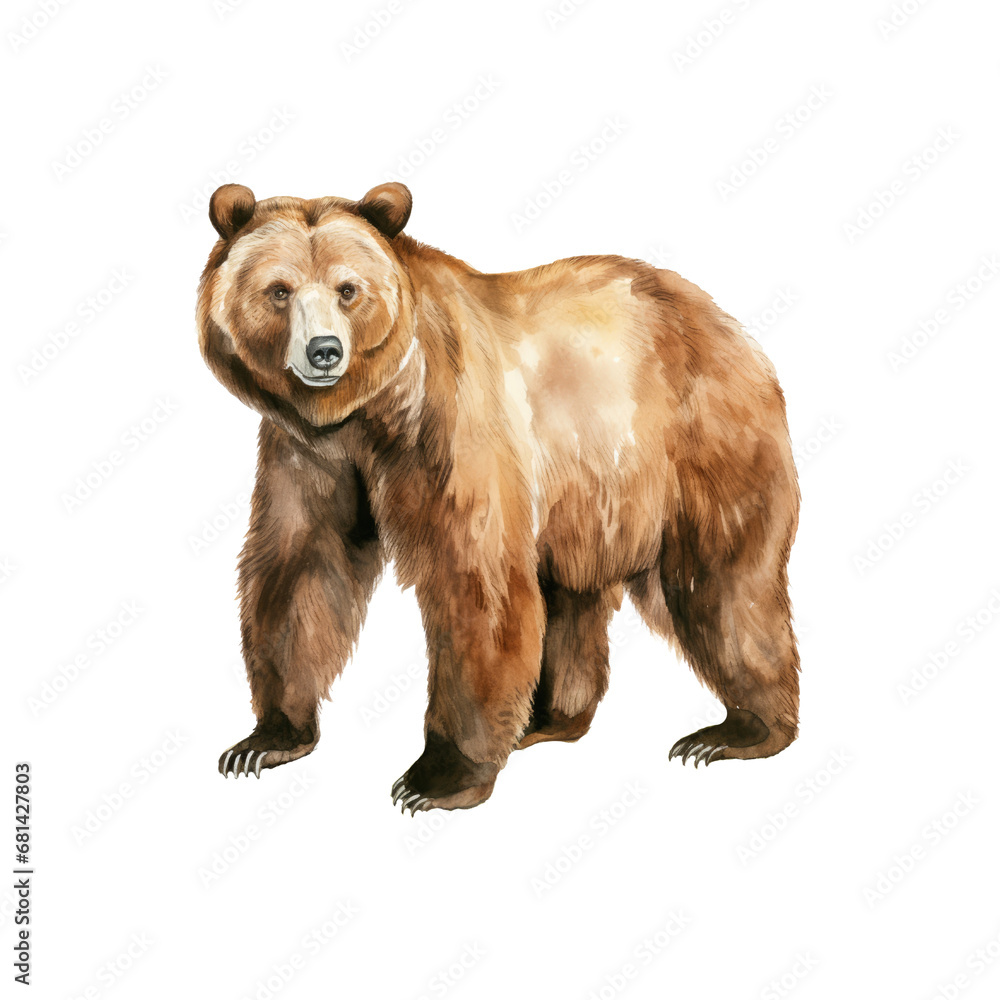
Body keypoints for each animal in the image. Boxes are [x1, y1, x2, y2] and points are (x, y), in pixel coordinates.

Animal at [197, 181, 800, 814]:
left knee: (721, 579)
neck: (370, 409)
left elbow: (474, 577)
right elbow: (302, 563)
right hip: (587, 494)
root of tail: (723, 320)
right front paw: (264, 740)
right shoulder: (310, 455)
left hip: (695, 444)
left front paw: (436, 777)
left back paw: (736, 732)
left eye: (347, 288)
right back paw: (550, 719)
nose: (324, 351)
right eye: (279, 290)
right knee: (569, 594)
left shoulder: (454, 426)